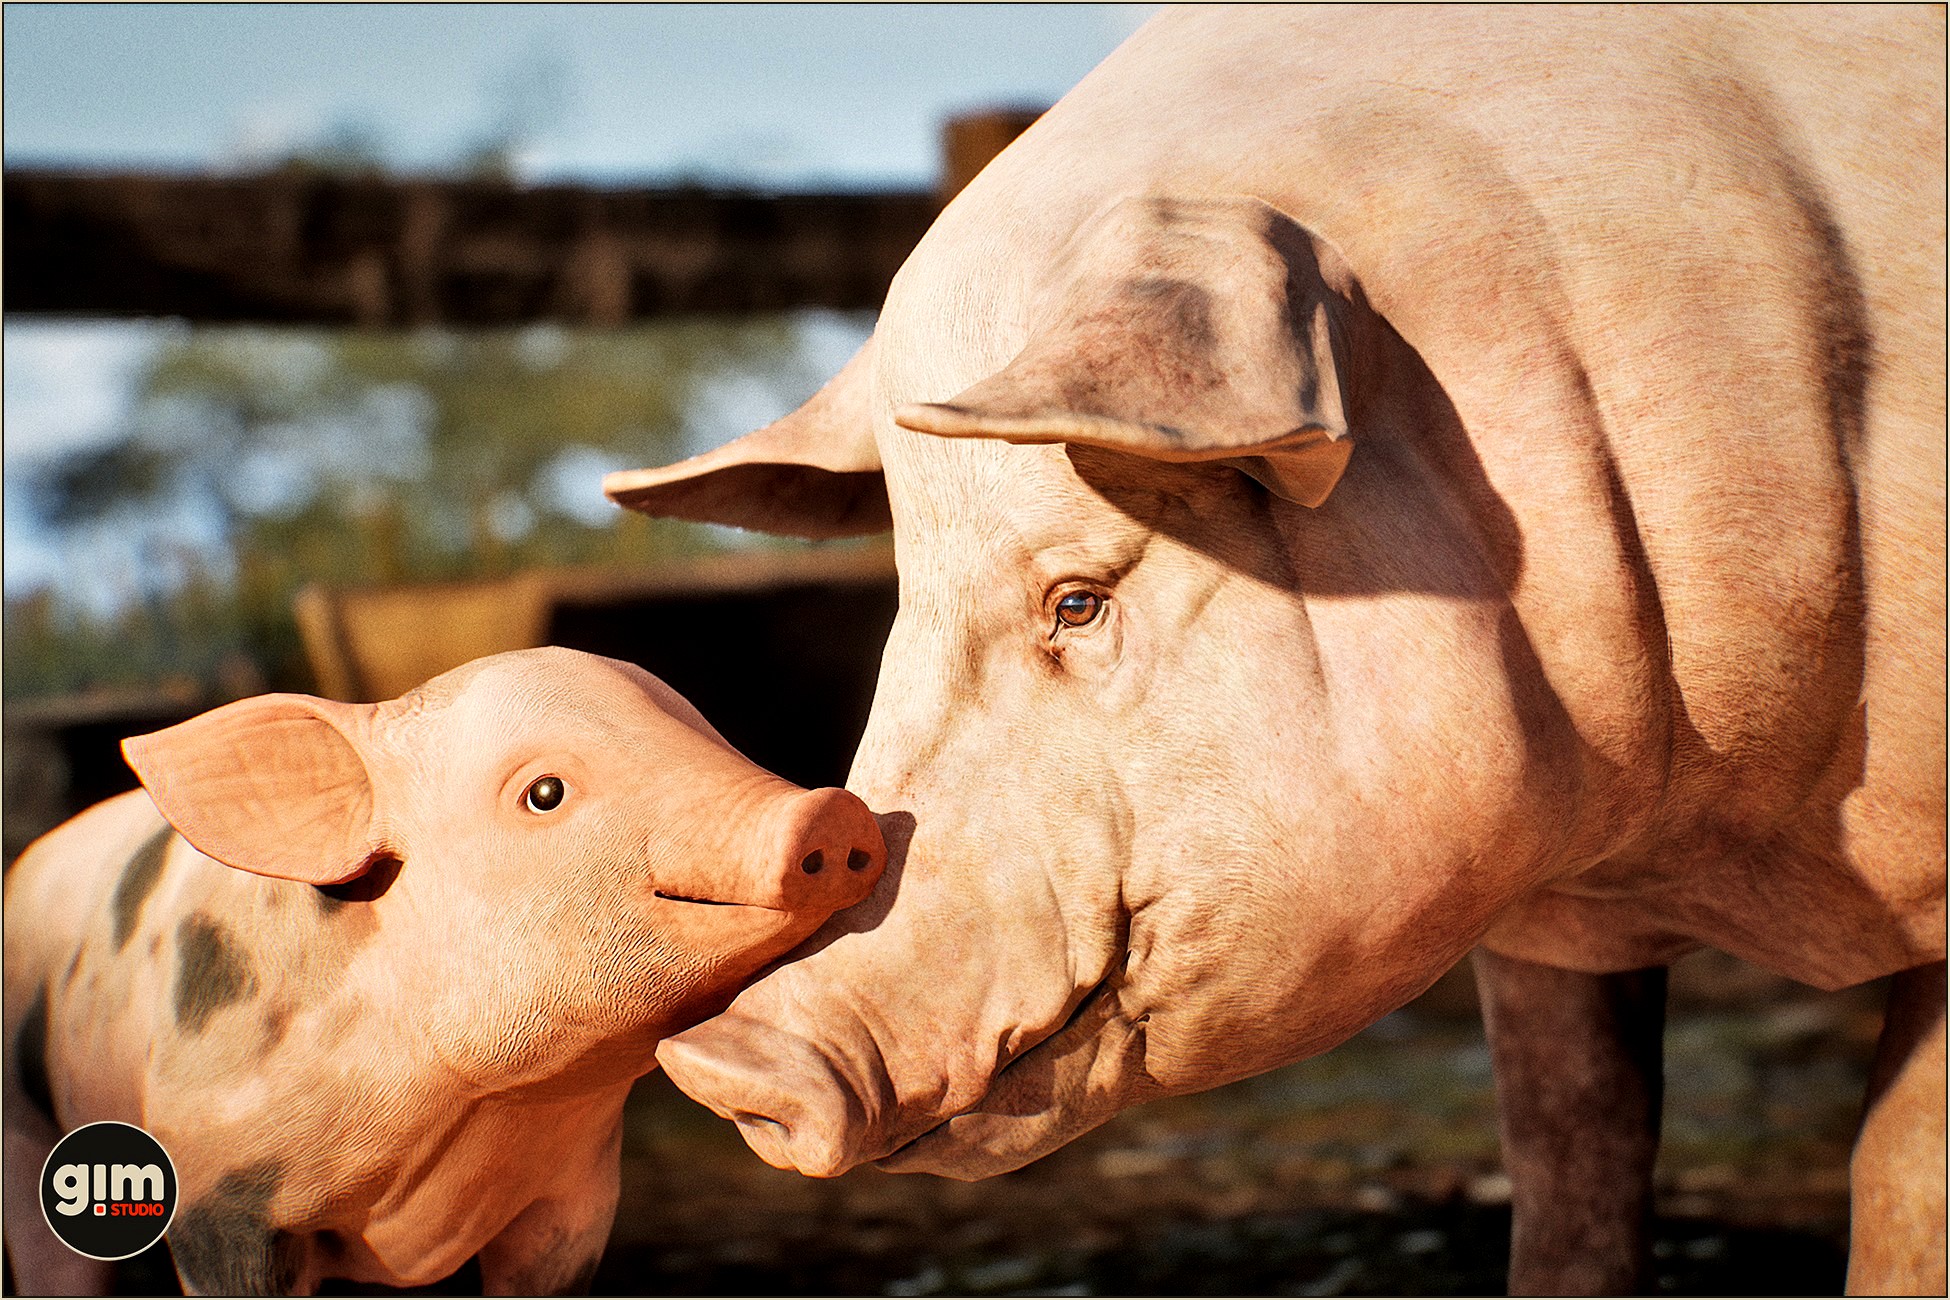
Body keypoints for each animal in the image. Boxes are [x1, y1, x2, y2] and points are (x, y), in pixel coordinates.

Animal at [1, 647, 884, 1296]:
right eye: (545, 793)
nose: (833, 809)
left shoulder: (574, 1199)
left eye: (710, 735)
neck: (466, 1104)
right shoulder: (220, 1198)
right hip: (24, 1135)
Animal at [603, 6, 1946, 1295]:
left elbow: (1896, 1178)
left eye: (1078, 601)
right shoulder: (1545, 923)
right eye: (904, 598)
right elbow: (1569, 1164)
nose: (723, 1058)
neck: (1710, 847)